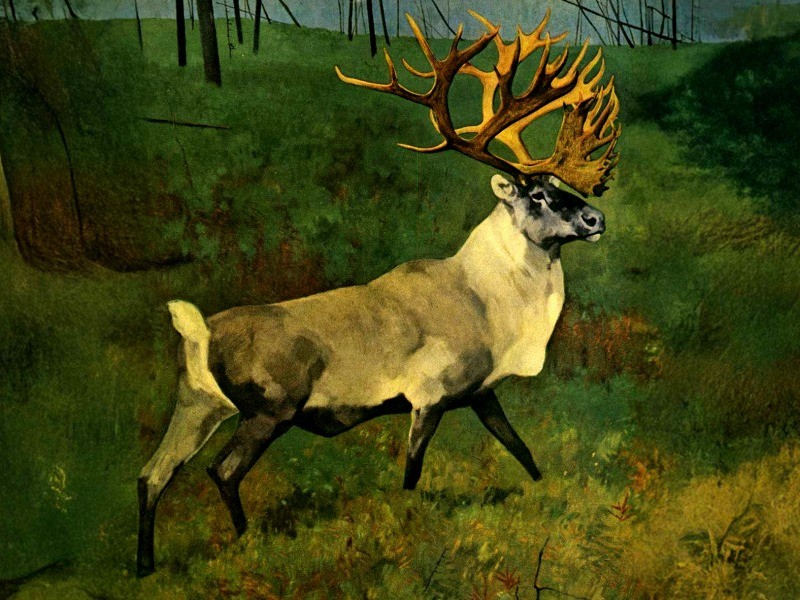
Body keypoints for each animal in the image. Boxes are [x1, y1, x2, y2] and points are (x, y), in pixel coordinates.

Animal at [136, 9, 620, 576]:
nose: (596, 218)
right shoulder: (429, 392)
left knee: (152, 473)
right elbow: (412, 472)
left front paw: (543, 489)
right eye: (539, 194)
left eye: (563, 189)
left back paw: (145, 566)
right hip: (270, 408)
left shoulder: (480, 391)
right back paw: (244, 539)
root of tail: (199, 335)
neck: (498, 315)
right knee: (222, 470)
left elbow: (520, 448)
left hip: (196, 403)